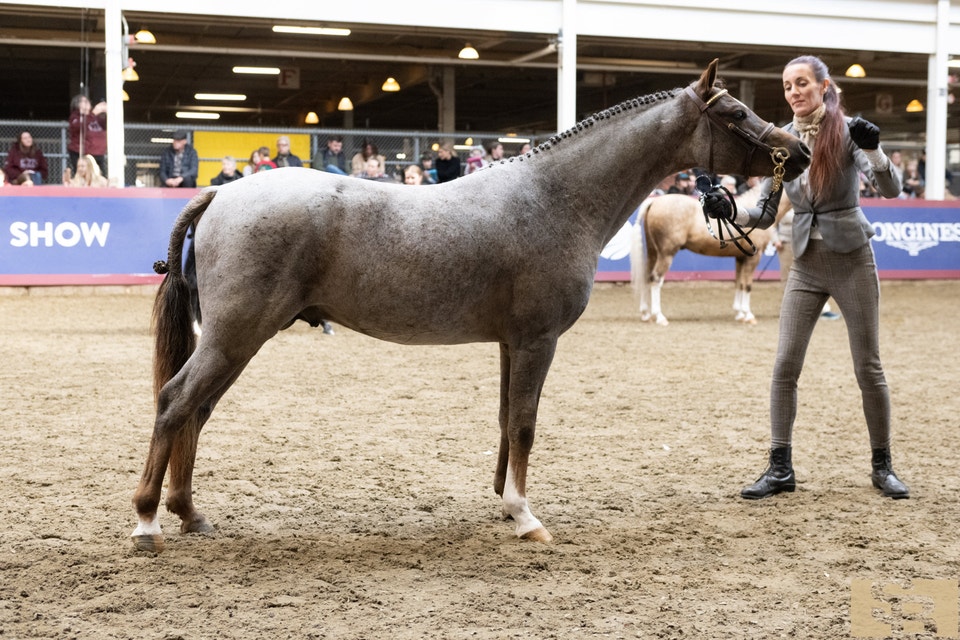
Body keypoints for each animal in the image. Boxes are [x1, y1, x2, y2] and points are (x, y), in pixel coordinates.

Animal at [631, 182, 793, 326]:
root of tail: (653, 202)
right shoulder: (753, 258)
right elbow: (747, 285)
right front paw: (748, 315)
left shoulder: (740, 258)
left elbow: (738, 283)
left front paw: (739, 314)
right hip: (666, 253)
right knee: (656, 279)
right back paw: (659, 317)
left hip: (653, 252)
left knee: (646, 276)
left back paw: (646, 314)